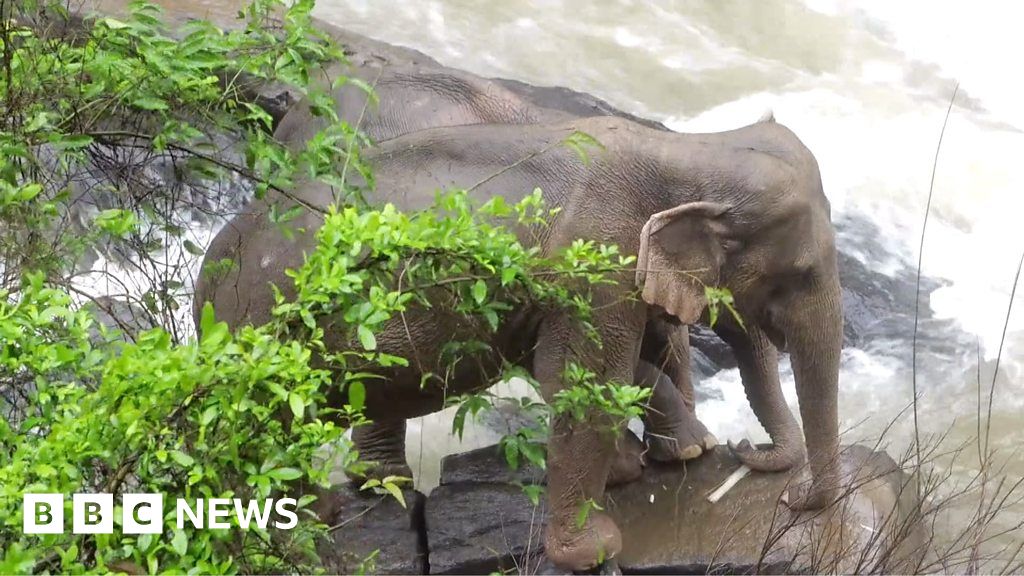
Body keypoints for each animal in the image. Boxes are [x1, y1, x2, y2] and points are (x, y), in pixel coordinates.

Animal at [194, 113, 842, 570]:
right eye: (801, 273)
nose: (781, 486)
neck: (690, 148)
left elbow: (613, 360)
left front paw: (660, 458)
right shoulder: (594, 260)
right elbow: (581, 382)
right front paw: (598, 547)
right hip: (263, 331)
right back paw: (316, 521)